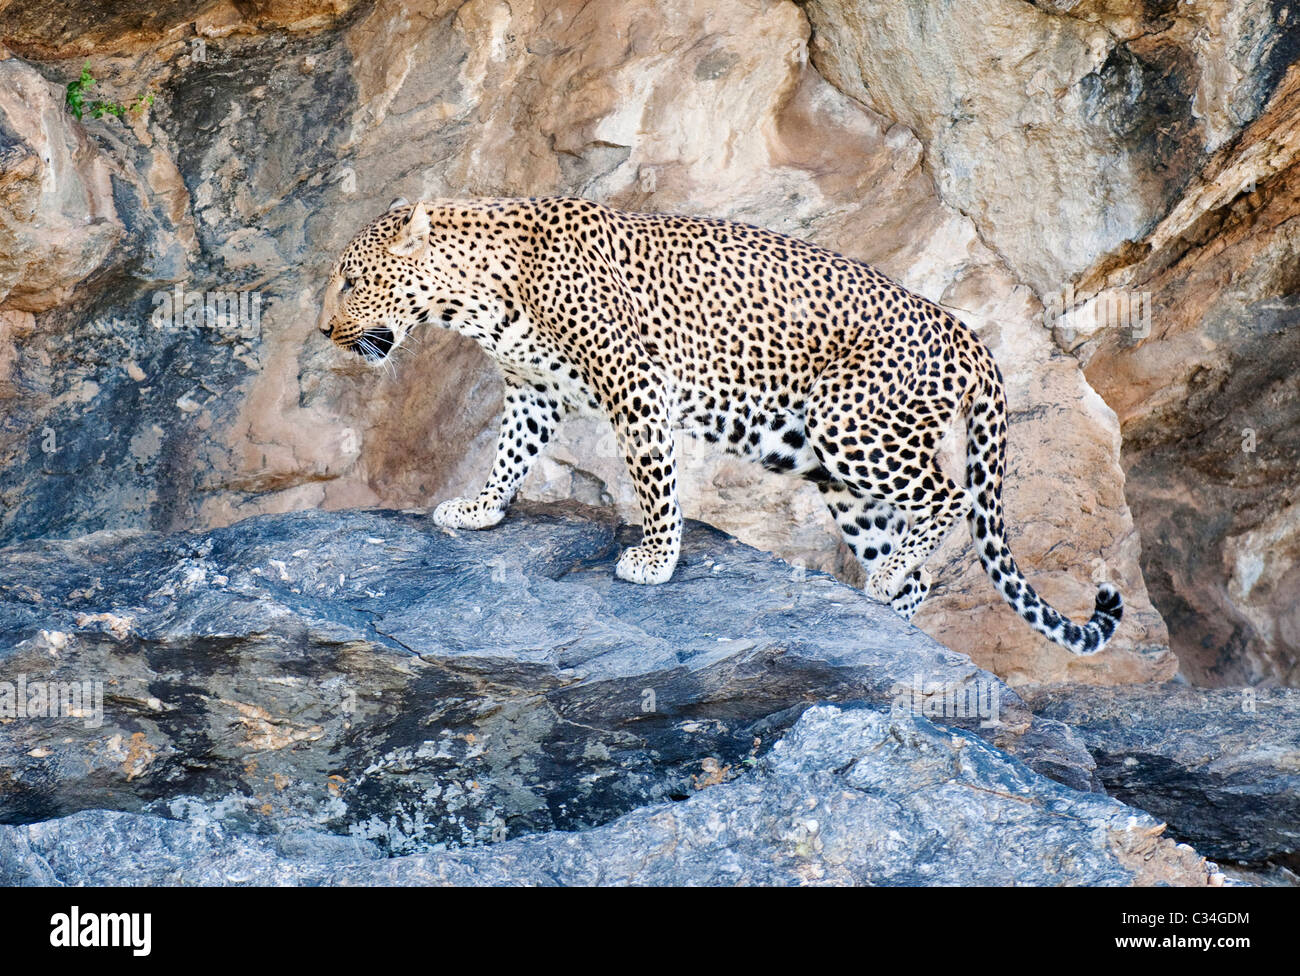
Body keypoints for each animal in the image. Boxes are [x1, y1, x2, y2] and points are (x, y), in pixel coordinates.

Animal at [318, 196, 1123, 655]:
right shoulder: (534, 391)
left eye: (353, 280)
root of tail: (965, 331)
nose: (325, 328)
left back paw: (889, 578)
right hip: (836, 473)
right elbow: (508, 452)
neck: (474, 297)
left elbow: (654, 481)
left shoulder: (635, 384)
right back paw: (887, 603)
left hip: (849, 424)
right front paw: (481, 509)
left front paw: (655, 559)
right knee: (915, 566)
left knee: (950, 497)